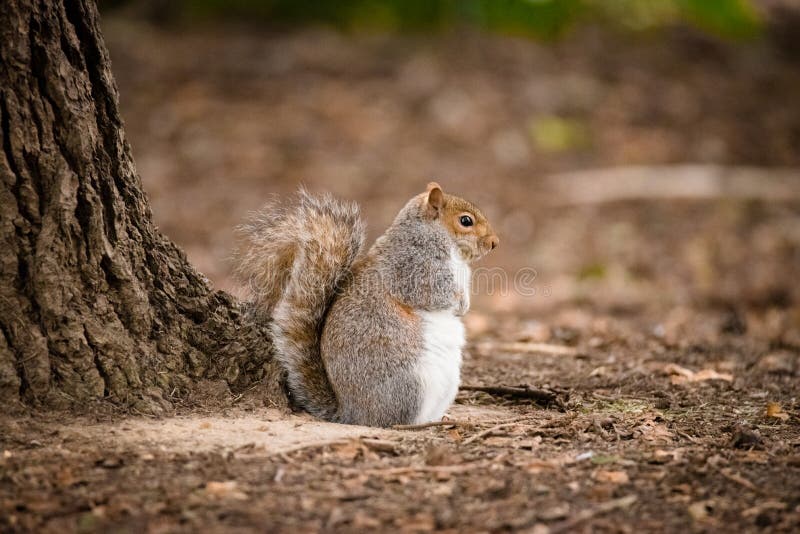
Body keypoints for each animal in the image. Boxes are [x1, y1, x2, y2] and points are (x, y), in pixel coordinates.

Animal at [235, 183, 498, 427]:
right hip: (409, 384)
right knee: (394, 419)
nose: (495, 243)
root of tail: (351, 414)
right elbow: (435, 296)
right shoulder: (414, 269)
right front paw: (461, 305)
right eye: (466, 221)